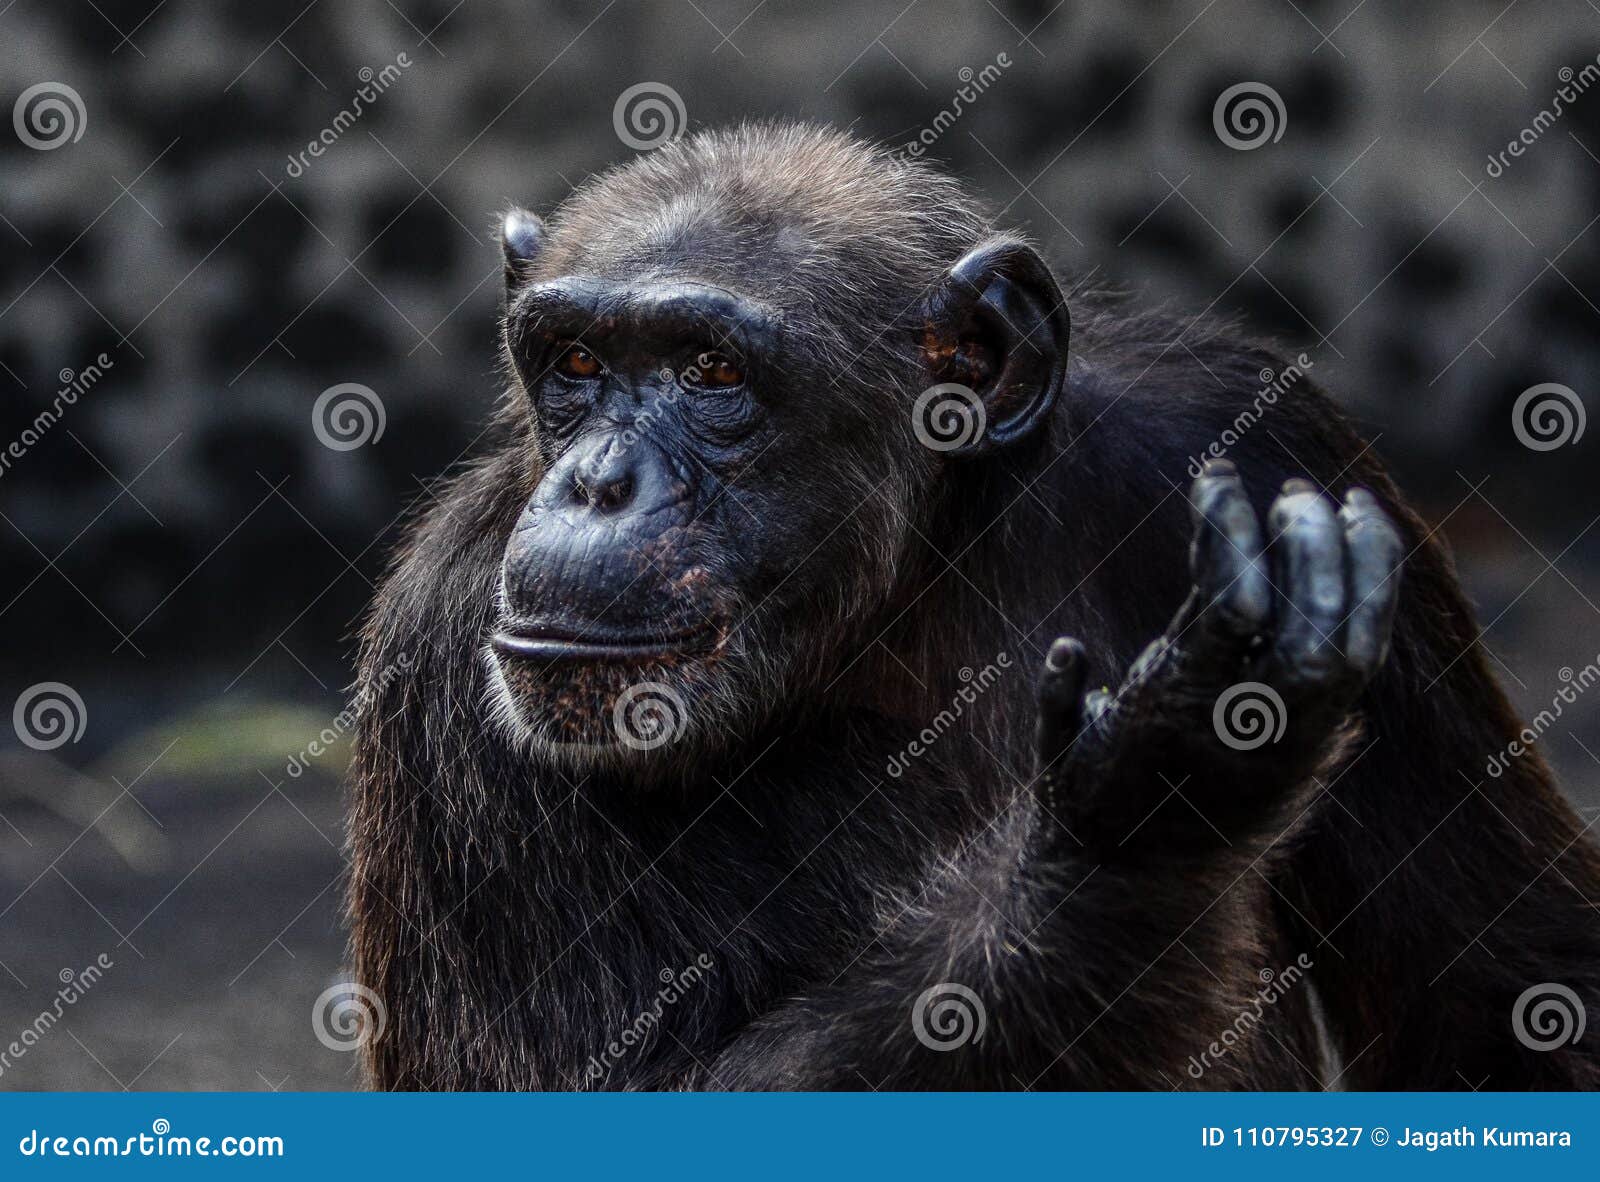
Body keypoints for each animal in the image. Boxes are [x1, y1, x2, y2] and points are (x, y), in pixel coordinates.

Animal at [348, 122, 1600, 1090]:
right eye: (573, 363)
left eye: (711, 372)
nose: (599, 483)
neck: (902, 588)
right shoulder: (442, 649)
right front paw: (1131, 824)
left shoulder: (1269, 440)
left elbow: (1508, 999)